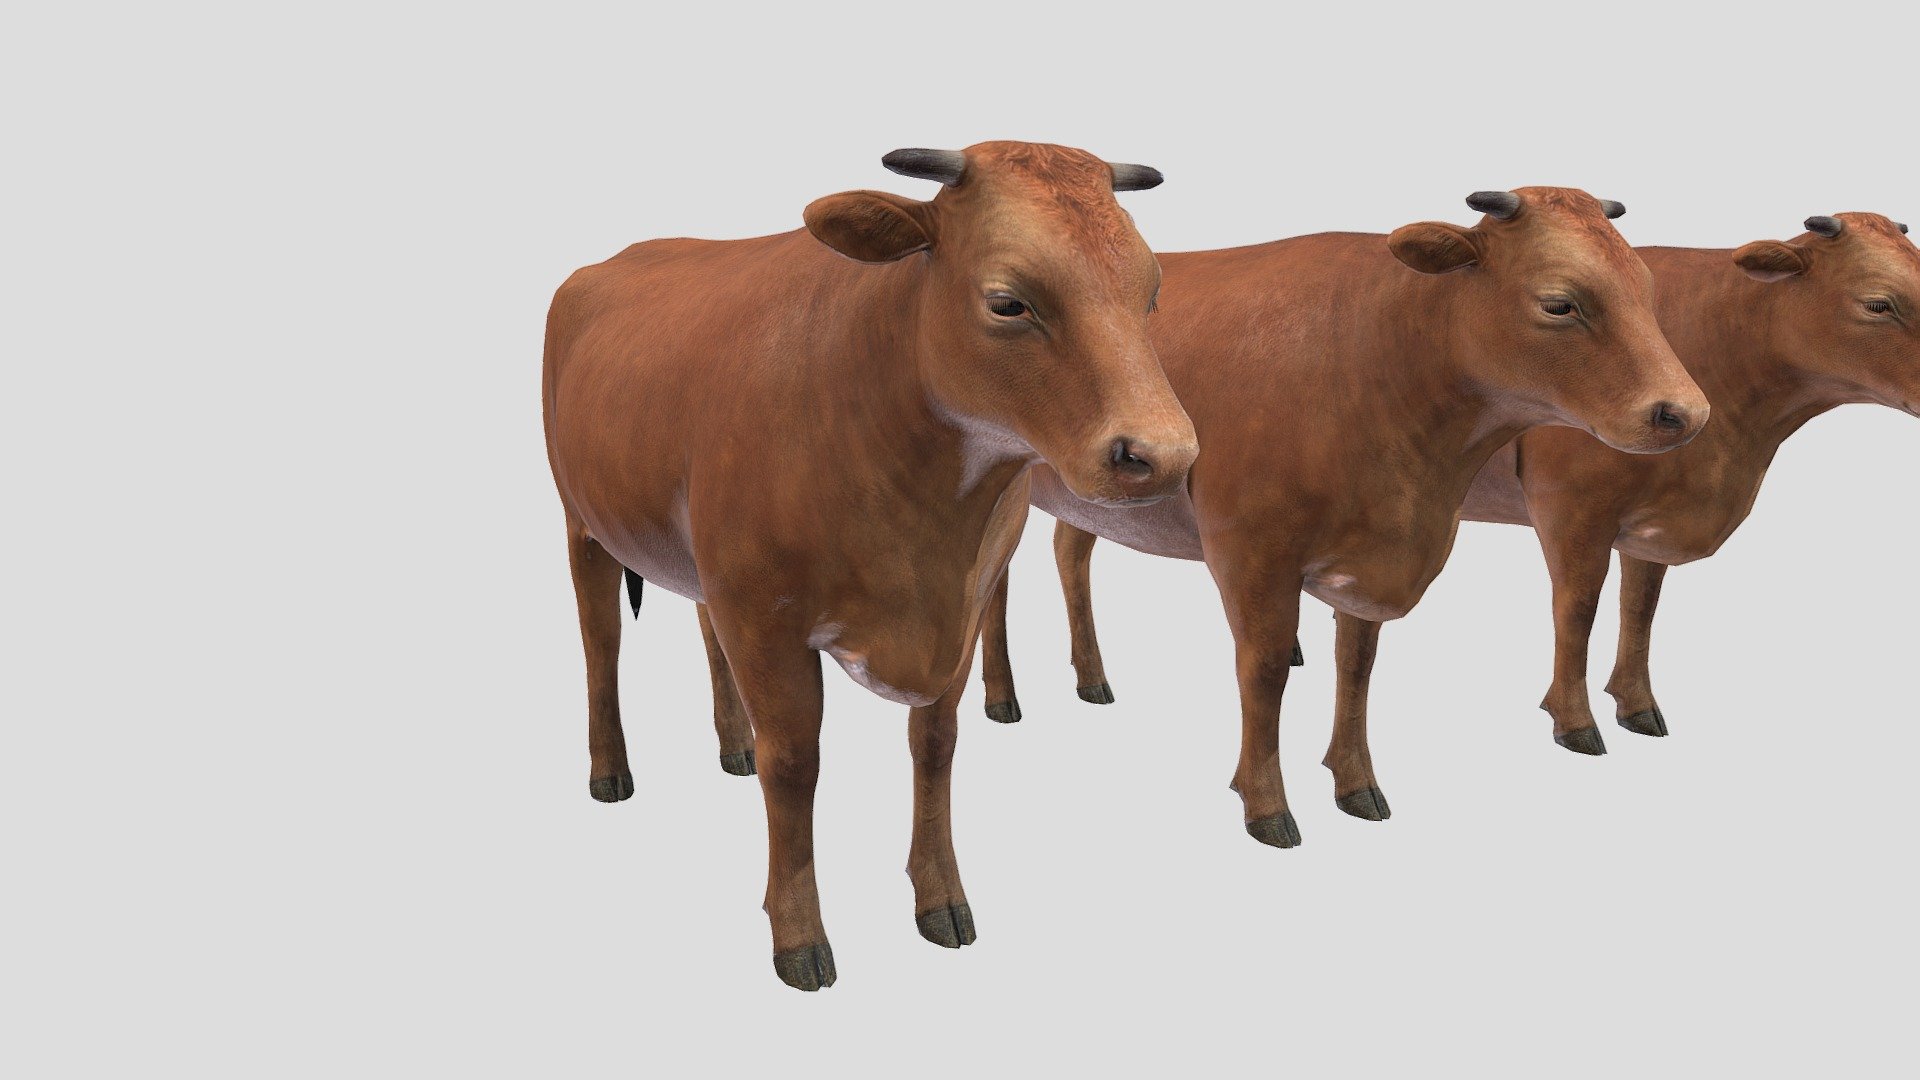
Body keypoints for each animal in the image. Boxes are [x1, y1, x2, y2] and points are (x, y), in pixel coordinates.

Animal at [542, 142, 1195, 990]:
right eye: (1008, 302)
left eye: (1150, 294)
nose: (1166, 455)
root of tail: (613, 260)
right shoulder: (766, 617)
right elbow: (795, 764)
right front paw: (798, 935)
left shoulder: (963, 606)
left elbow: (936, 745)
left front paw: (941, 898)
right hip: (581, 524)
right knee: (601, 644)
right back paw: (611, 773)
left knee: (700, 628)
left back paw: (732, 746)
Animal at [945, 189, 1709, 845]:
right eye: (1559, 303)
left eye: (1646, 292)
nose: (1685, 412)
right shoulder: (1251, 553)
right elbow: (1263, 674)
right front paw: (1266, 805)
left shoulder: (1368, 559)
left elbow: (1357, 668)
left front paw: (1355, 782)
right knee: (997, 586)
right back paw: (1003, 696)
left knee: (1070, 555)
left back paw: (1091, 678)